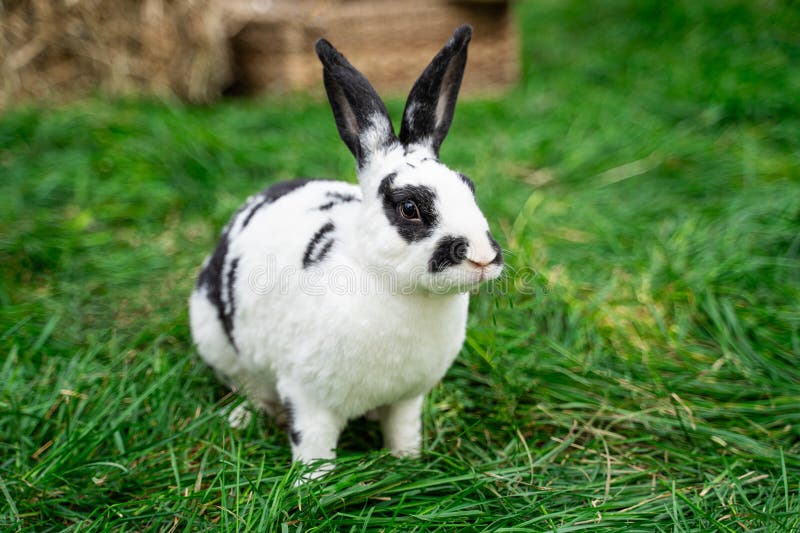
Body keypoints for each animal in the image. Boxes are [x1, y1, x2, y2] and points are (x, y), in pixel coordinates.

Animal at [189, 24, 503, 476]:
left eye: (469, 187)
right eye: (409, 208)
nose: (483, 256)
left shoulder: (408, 400)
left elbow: (402, 431)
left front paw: (408, 461)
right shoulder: (307, 399)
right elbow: (313, 446)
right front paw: (311, 484)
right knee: (247, 387)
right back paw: (243, 418)